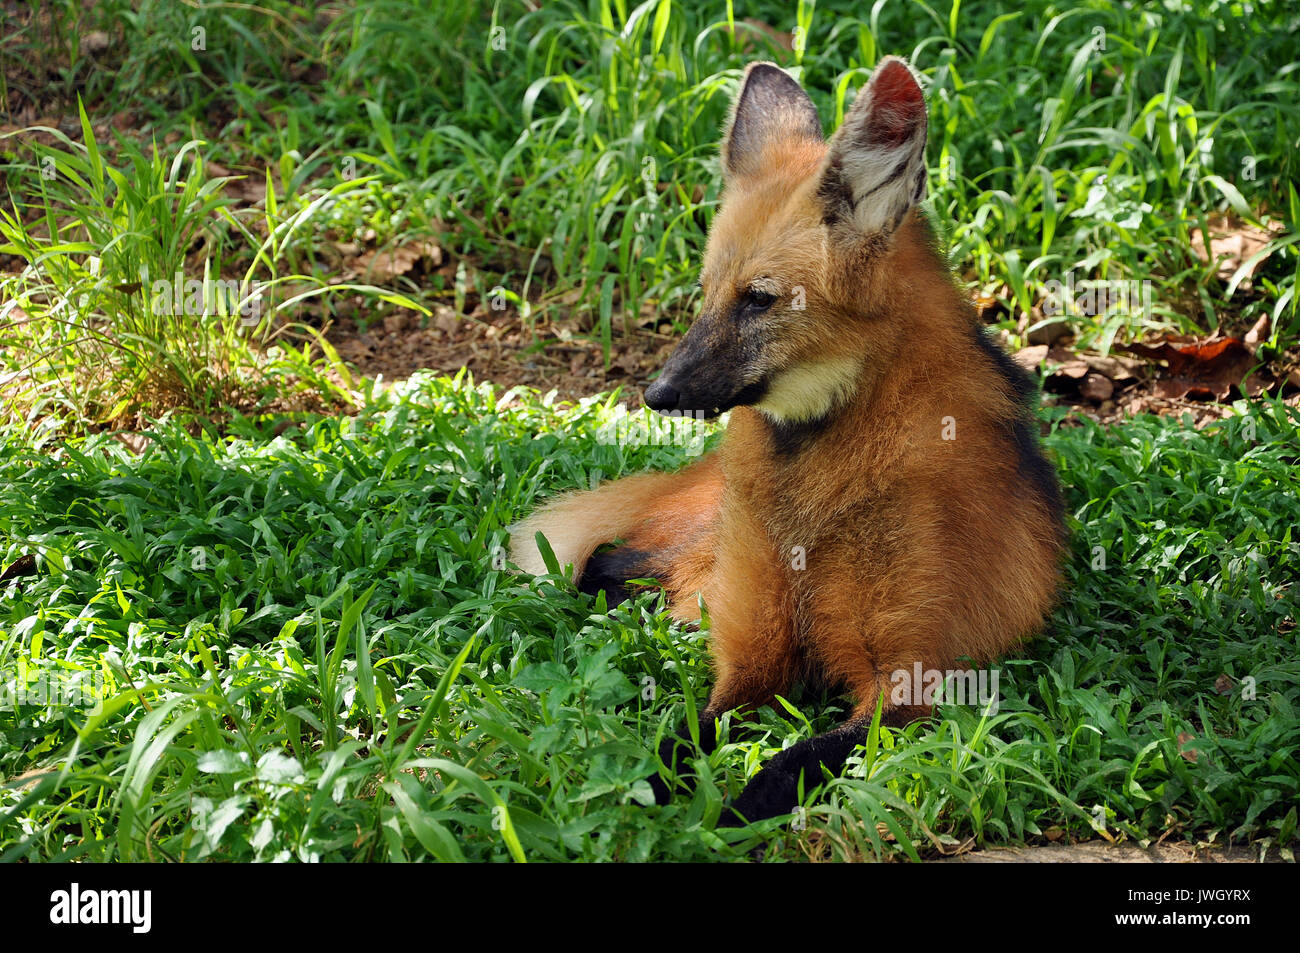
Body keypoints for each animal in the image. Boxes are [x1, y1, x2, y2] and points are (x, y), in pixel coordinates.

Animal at [510, 57, 1066, 824]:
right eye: (708, 293)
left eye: (760, 299)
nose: (659, 393)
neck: (813, 474)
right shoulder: (755, 660)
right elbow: (684, 734)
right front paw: (656, 792)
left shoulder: (911, 684)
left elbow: (787, 766)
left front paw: (726, 817)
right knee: (604, 561)